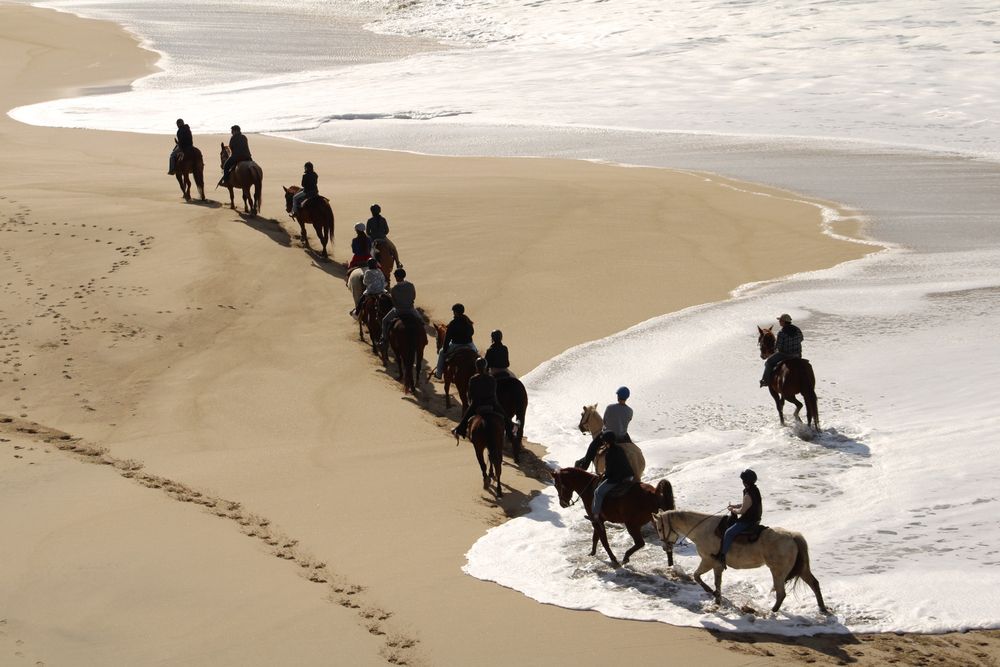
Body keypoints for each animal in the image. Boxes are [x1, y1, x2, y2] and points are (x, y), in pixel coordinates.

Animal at [653, 509, 827, 613]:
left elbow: (697, 576)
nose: (664, 547)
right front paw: (717, 597)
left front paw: (711, 592)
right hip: (802, 569)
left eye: (660, 528)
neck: (703, 530)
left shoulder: (708, 561)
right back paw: (822, 608)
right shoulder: (716, 565)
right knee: (814, 583)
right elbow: (716, 582)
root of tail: (792, 536)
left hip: (777, 571)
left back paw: (772, 611)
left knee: (781, 593)